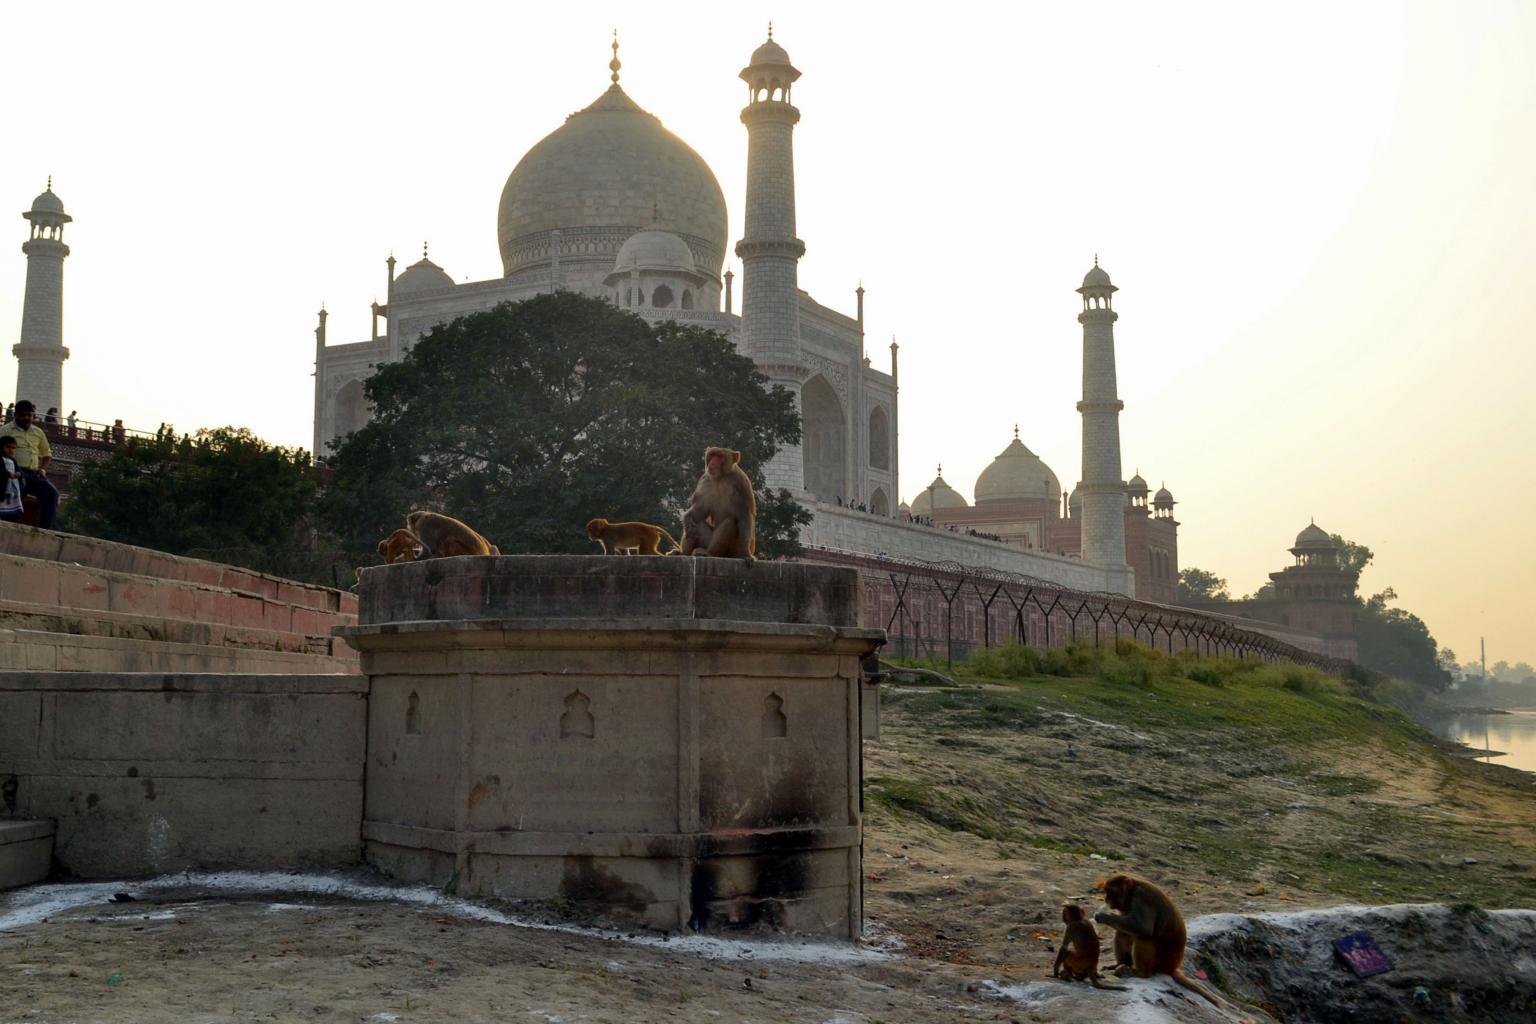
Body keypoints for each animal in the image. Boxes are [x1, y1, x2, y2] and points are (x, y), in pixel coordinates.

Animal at [1093, 873, 1225, 1009]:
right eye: (1106, 891)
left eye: (1111, 891)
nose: (1106, 899)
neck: (1131, 893)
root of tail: (1172, 967)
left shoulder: (1141, 898)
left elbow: (1143, 927)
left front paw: (1103, 916)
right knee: (1123, 932)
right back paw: (1120, 964)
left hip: (1161, 963)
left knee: (1144, 937)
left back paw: (1140, 972)